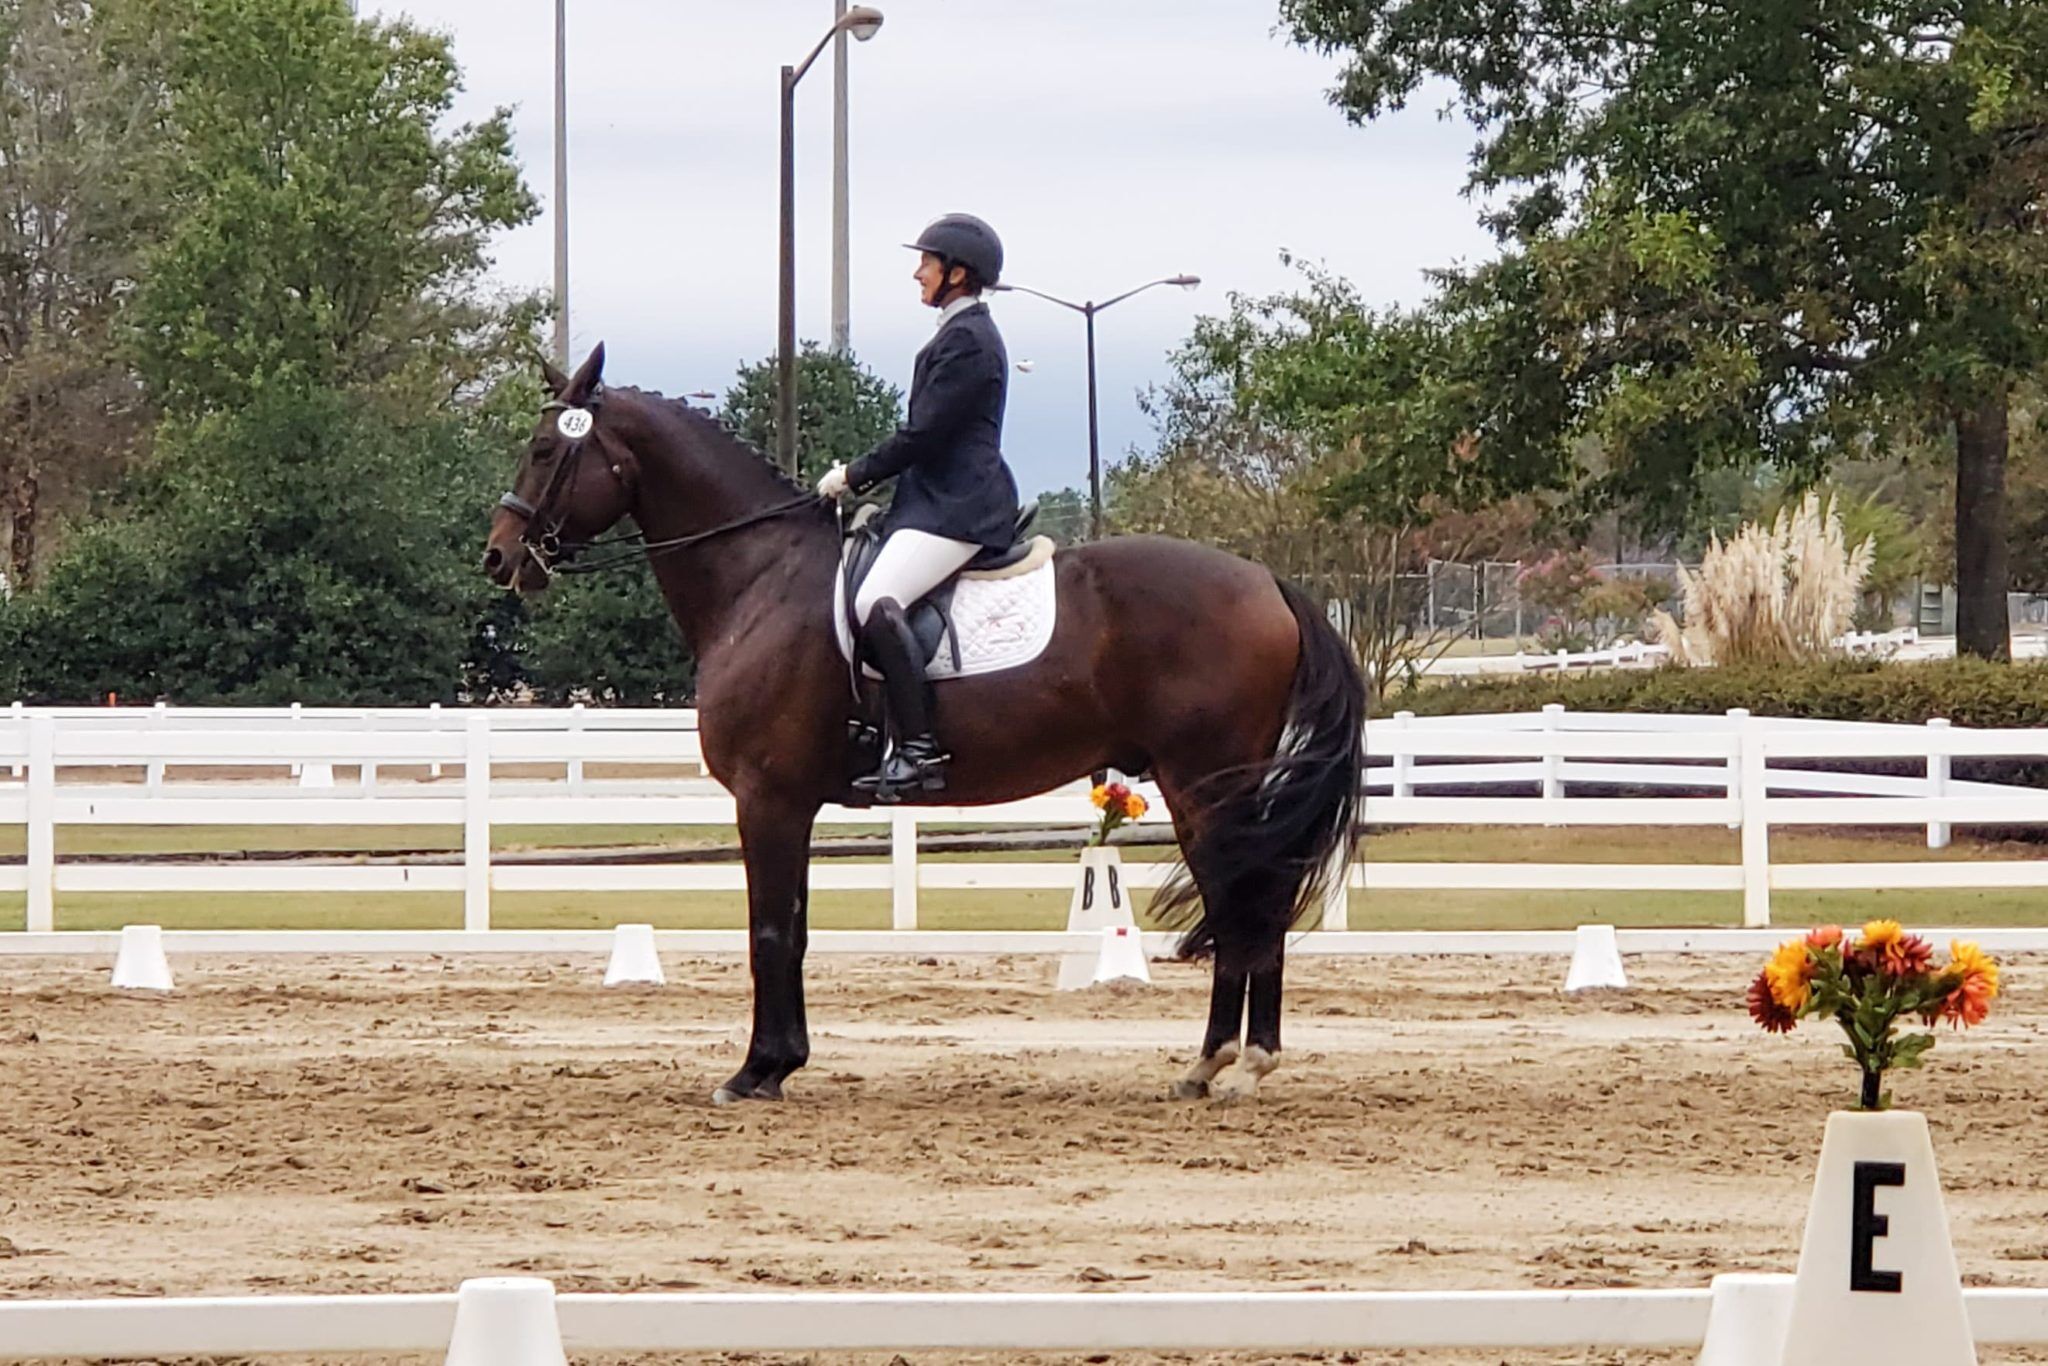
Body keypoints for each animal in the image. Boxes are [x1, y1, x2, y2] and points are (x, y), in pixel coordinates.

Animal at [482, 344, 1365, 1105]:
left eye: (541, 448)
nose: (500, 557)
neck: (761, 577)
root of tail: (1268, 582)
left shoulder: (767, 798)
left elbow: (769, 931)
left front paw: (755, 1071)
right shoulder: (792, 803)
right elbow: (795, 928)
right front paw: (782, 1063)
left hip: (1203, 781)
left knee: (1246, 897)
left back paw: (1232, 1062)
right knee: (1249, 897)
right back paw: (1220, 1065)